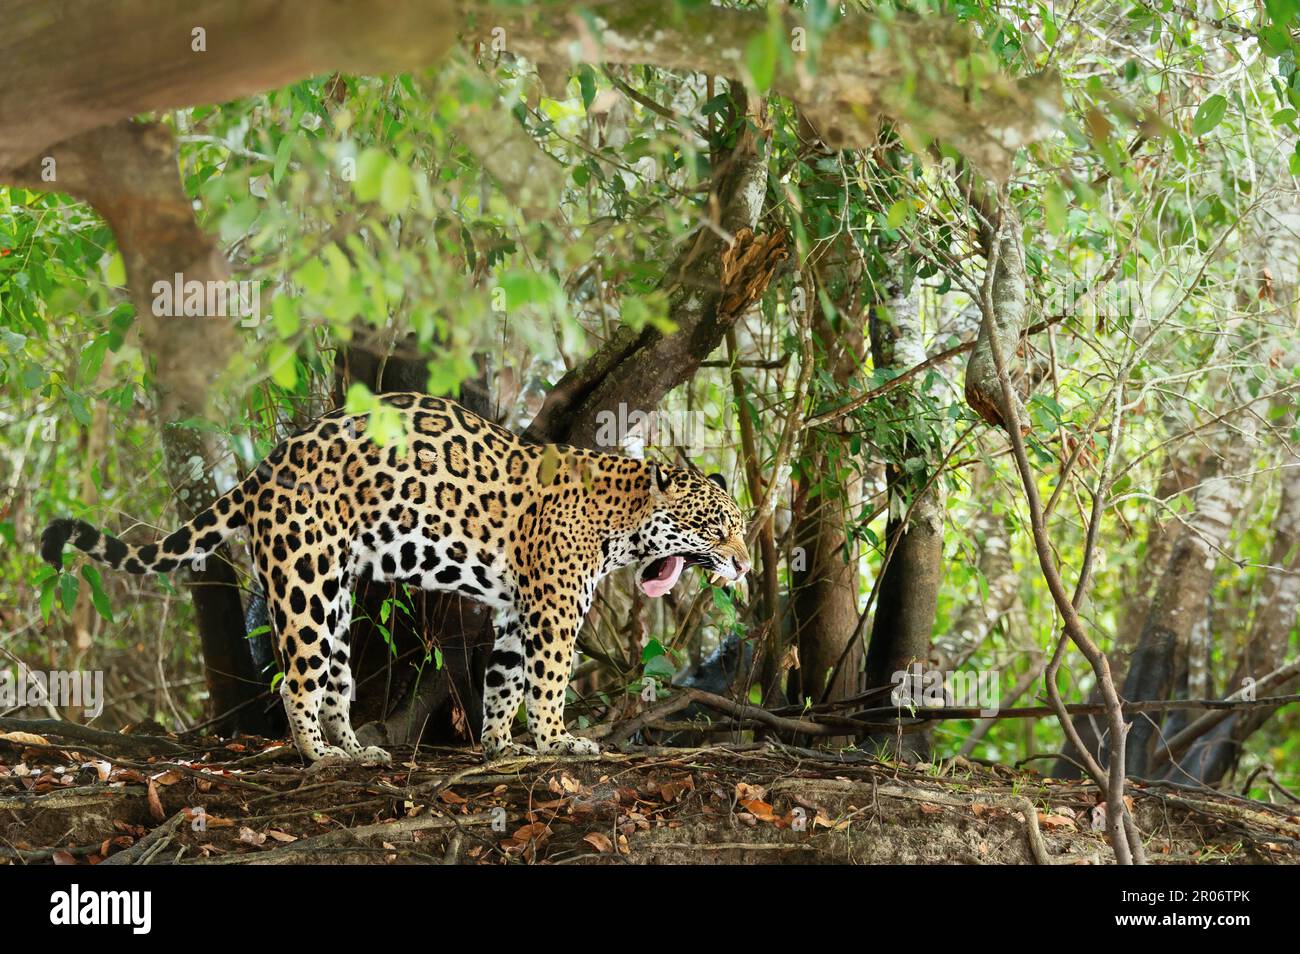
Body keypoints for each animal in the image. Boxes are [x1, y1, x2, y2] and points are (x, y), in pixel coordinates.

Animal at [40, 394, 751, 765]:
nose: (745, 563)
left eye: (738, 527)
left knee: (333, 678)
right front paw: (556, 741)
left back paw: (357, 750)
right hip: (303, 584)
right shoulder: (552, 610)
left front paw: (500, 745)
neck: (623, 520)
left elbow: (503, 681)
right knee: (297, 677)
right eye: (715, 528)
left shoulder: (515, 610)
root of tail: (267, 465)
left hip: (331, 590)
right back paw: (319, 757)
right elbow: (546, 680)